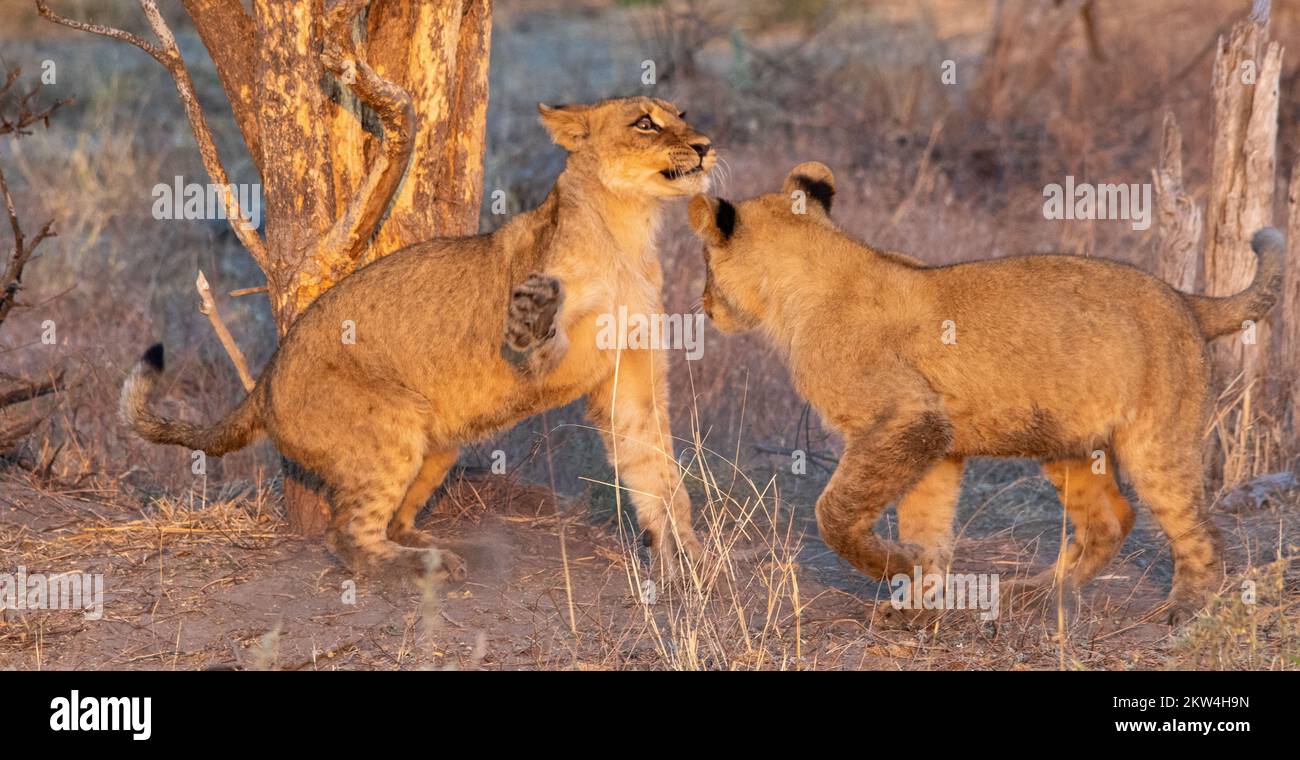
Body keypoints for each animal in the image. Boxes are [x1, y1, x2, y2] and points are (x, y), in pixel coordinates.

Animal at [121, 96, 714, 580]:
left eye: (683, 115)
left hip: (437, 443)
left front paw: (691, 559)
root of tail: (265, 379)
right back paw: (424, 566)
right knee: (347, 536)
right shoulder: (532, 352)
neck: (629, 228)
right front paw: (535, 313)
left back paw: (443, 546)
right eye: (645, 123)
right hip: (394, 423)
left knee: (388, 522)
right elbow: (539, 339)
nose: (706, 146)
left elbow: (659, 472)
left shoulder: (633, 376)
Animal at [687, 161, 1282, 624]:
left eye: (705, 263)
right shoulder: (937, 444)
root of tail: (1185, 296)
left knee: (1198, 528)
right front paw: (917, 600)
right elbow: (927, 525)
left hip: (1155, 442)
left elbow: (833, 512)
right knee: (1110, 521)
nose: (704, 305)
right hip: (1065, 441)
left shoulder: (907, 418)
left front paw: (897, 569)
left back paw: (1189, 607)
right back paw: (1041, 594)